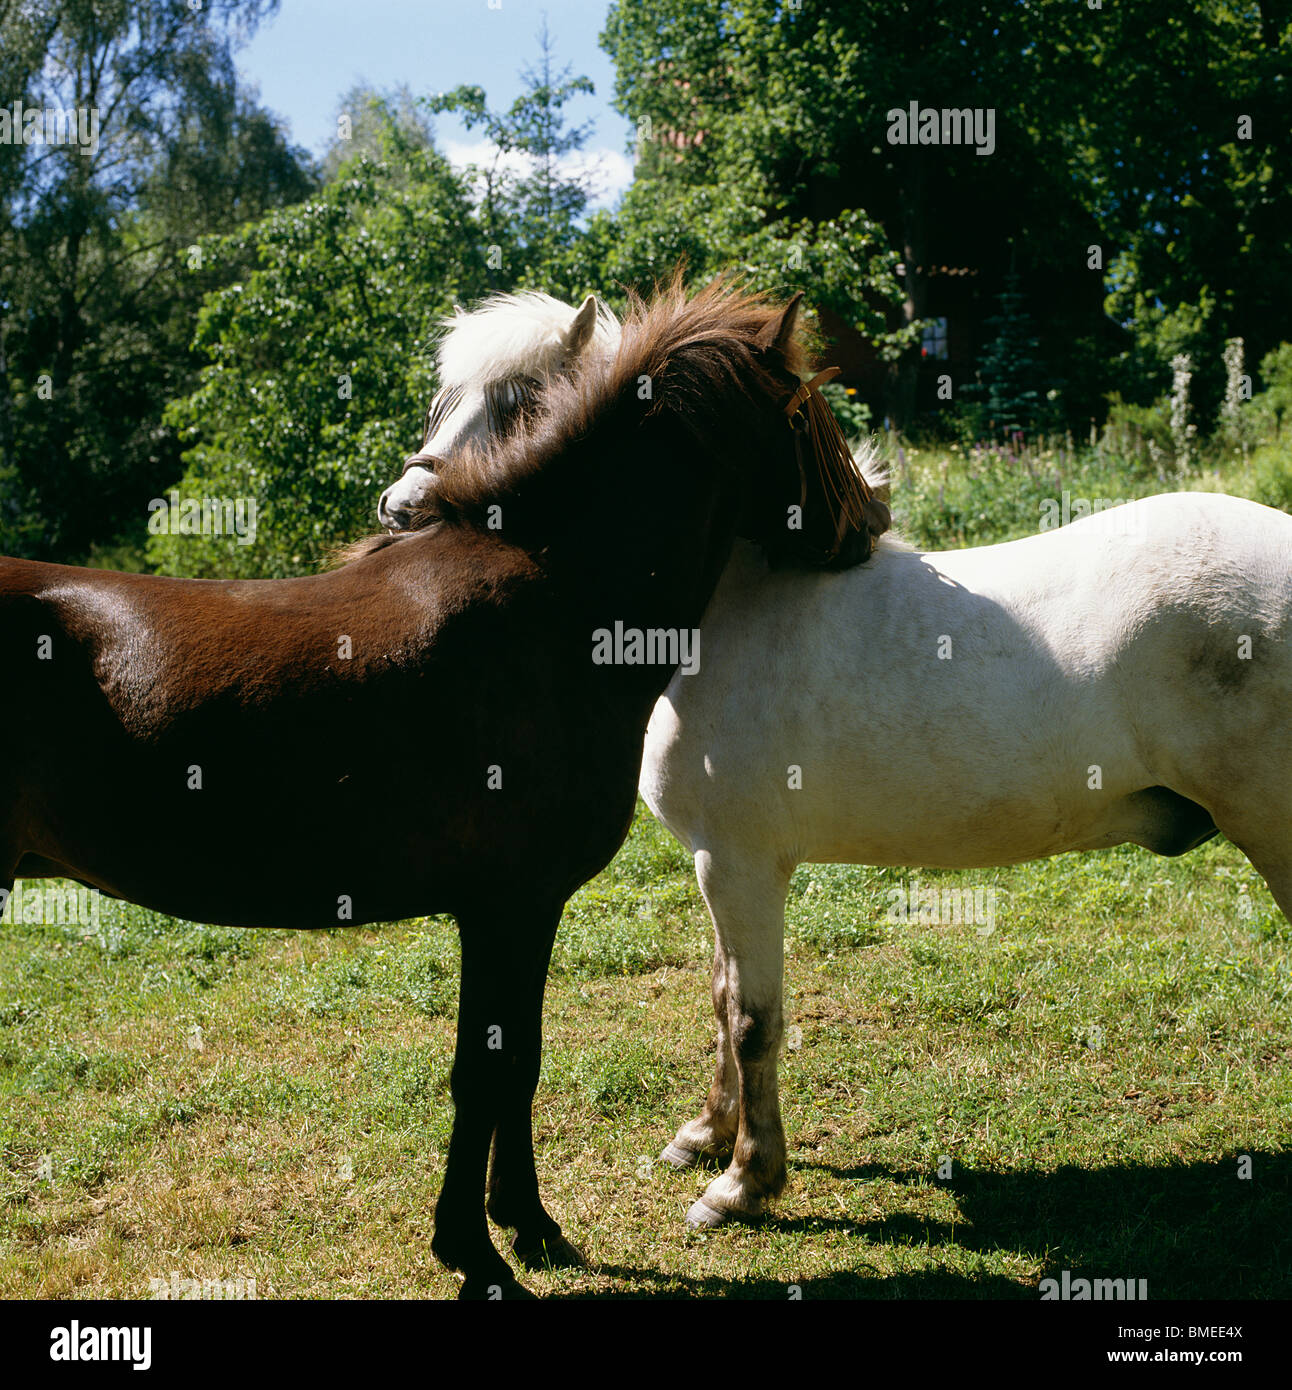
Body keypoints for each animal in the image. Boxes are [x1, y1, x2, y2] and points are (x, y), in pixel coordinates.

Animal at [0, 277, 890, 1297]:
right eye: (807, 410)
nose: (870, 522)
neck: (557, 594)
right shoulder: (507, 905)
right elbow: (485, 1073)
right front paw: (477, 1251)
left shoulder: (522, 909)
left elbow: (521, 1061)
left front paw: (529, 1224)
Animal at [638, 493, 1292, 1229]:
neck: (730, 610)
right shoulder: (722, 869)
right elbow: (723, 999)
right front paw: (704, 1134)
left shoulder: (738, 864)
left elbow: (750, 1021)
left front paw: (744, 1181)